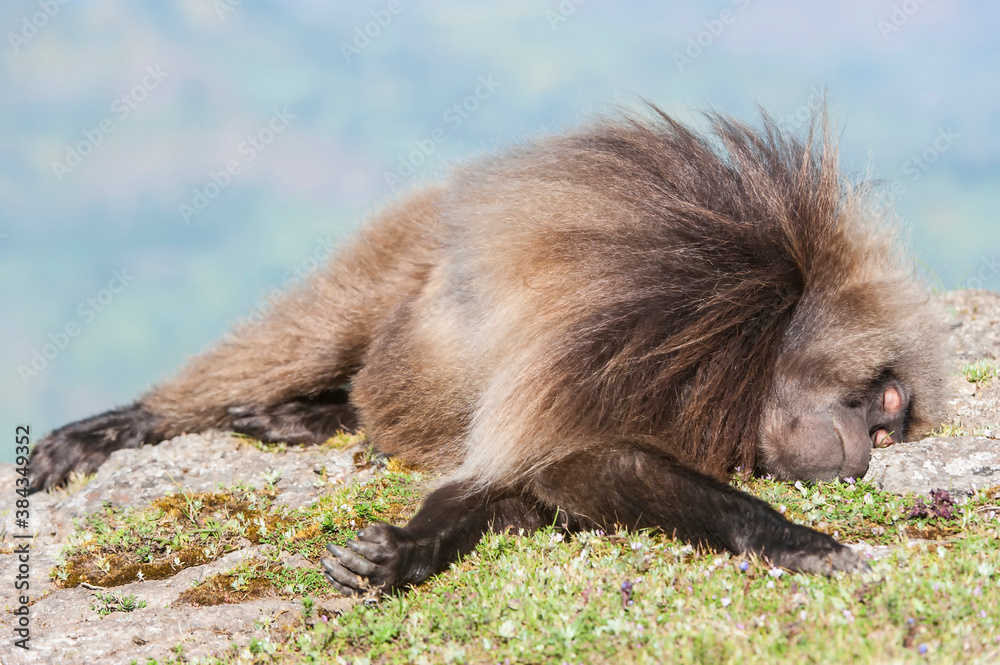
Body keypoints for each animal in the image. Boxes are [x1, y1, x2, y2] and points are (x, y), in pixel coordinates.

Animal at [29, 105, 945, 595]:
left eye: (888, 425)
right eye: (877, 402)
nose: (867, 448)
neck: (751, 350)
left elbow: (537, 480)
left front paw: (406, 550)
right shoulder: (651, 313)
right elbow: (572, 455)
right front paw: (795, 539)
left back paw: (303, 418)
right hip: (397, 252)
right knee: (310, 333)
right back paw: (121, 426)